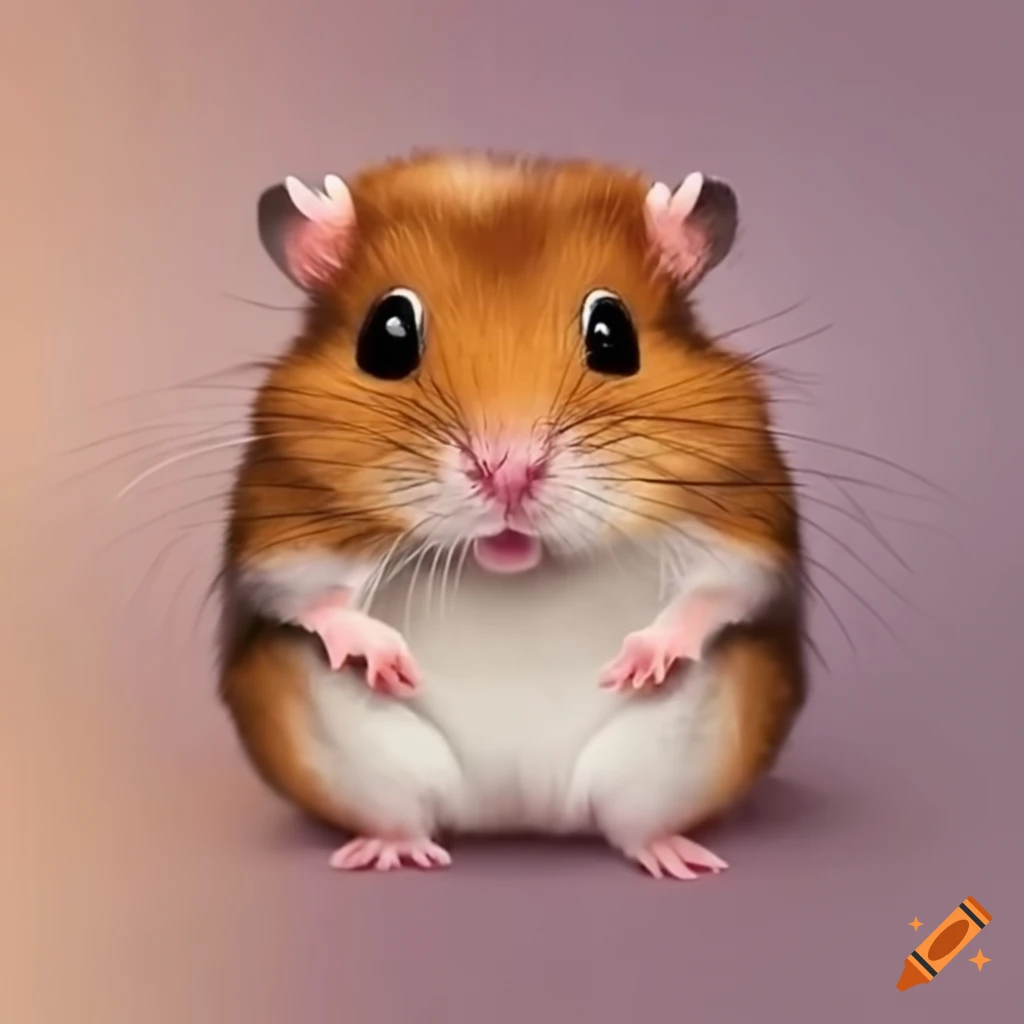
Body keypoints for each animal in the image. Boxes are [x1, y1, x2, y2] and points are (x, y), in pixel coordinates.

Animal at [217, 151, 807, 879]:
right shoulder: (282, 522)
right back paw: (392, 850)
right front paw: (390, 661)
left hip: (691, 744)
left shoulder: (741, 513)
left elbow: (722, 588)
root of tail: (519, 810)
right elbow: (306, 597)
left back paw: (676, 858)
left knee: (633, 820)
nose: (510, 474)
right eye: (387, 334)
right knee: (402, 809)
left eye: (612, 333)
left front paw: (639, 662)